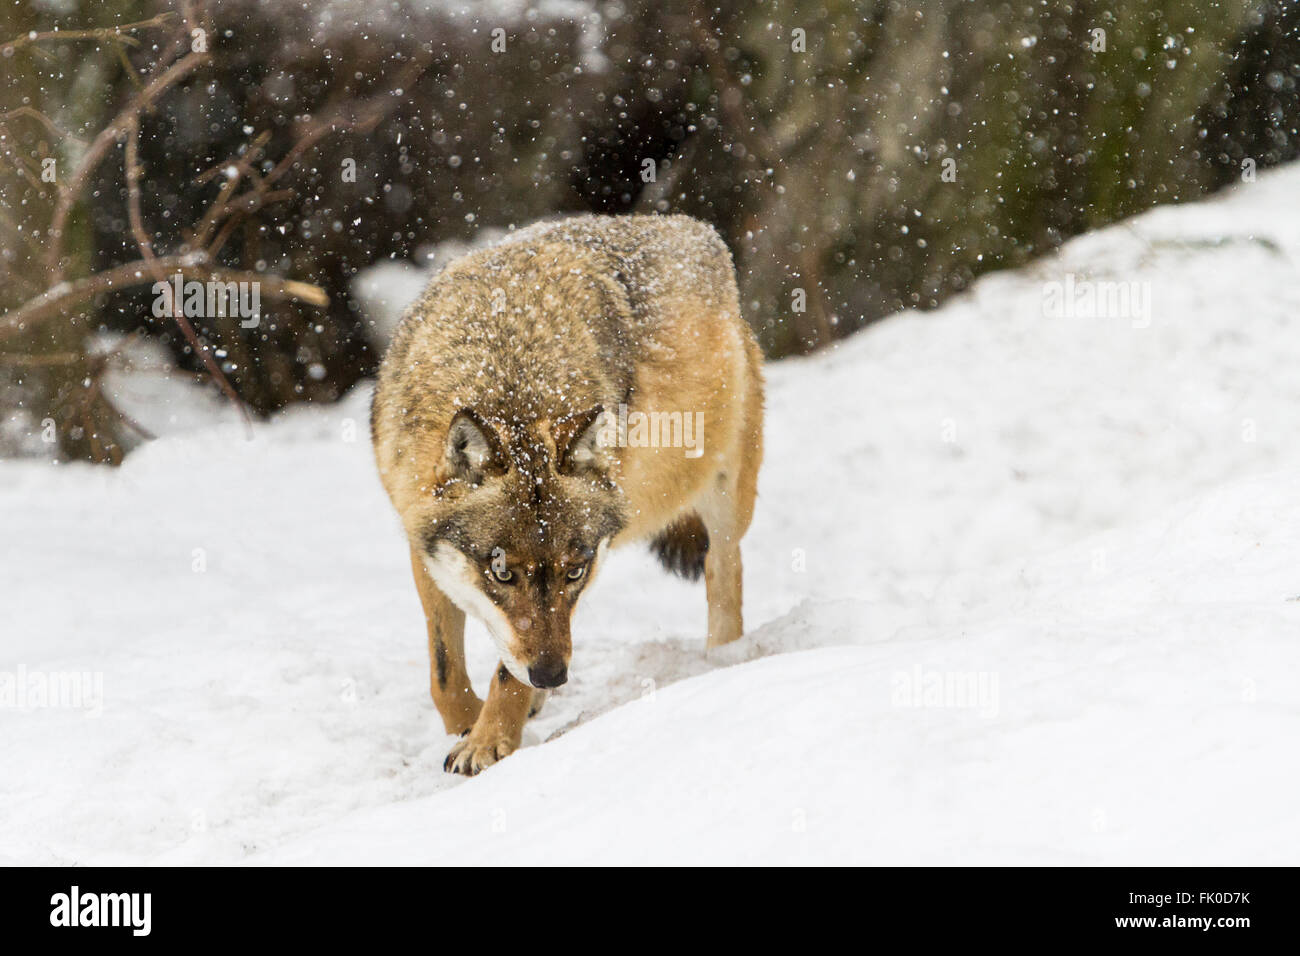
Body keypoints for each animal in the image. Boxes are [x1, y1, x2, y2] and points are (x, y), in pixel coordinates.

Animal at [371, 214, 764, 775]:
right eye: (501, 572)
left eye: (575, 570)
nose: (554, 676)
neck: (507, 365)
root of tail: (696, 229)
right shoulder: (421, 541)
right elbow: (444, 672)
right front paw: (469, 722)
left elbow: (506, 675)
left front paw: (487, 739)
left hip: (724, 490)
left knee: (723, 570)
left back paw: (722, 663)